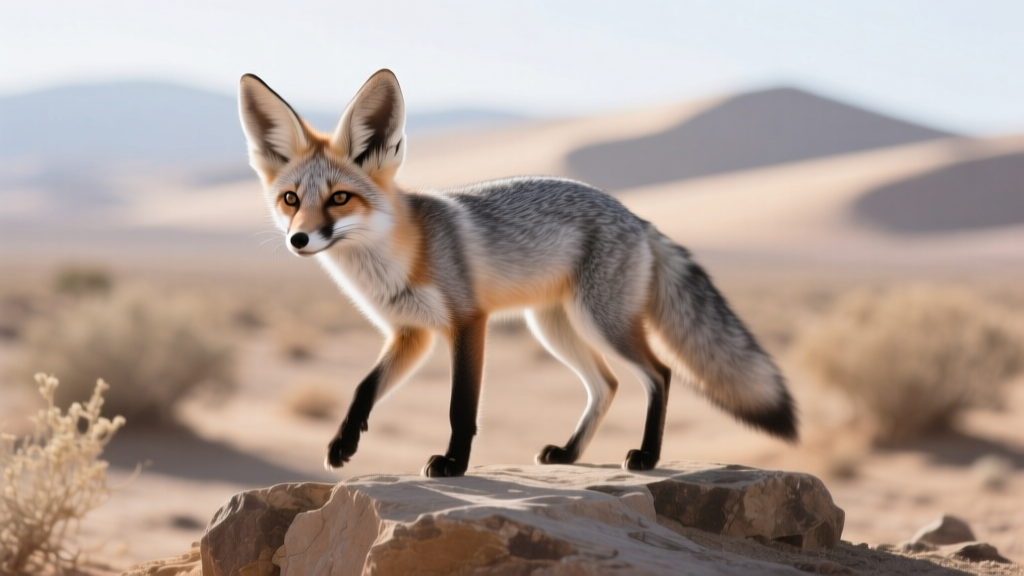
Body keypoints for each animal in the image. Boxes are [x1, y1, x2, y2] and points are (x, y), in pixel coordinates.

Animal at [237, 69, 797, 478]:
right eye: (291, 200)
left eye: (339, 198)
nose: (299, 240)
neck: (392, 261)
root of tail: (638, 217)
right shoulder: (410, 334)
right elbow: (362, 390)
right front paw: (342, 444)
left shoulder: (467, 321)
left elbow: (461, 408)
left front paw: (454, 464)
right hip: (554, 327)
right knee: (608, 384)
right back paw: (569, 454)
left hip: (601, 323)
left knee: (658, 373)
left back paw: (647, 457)